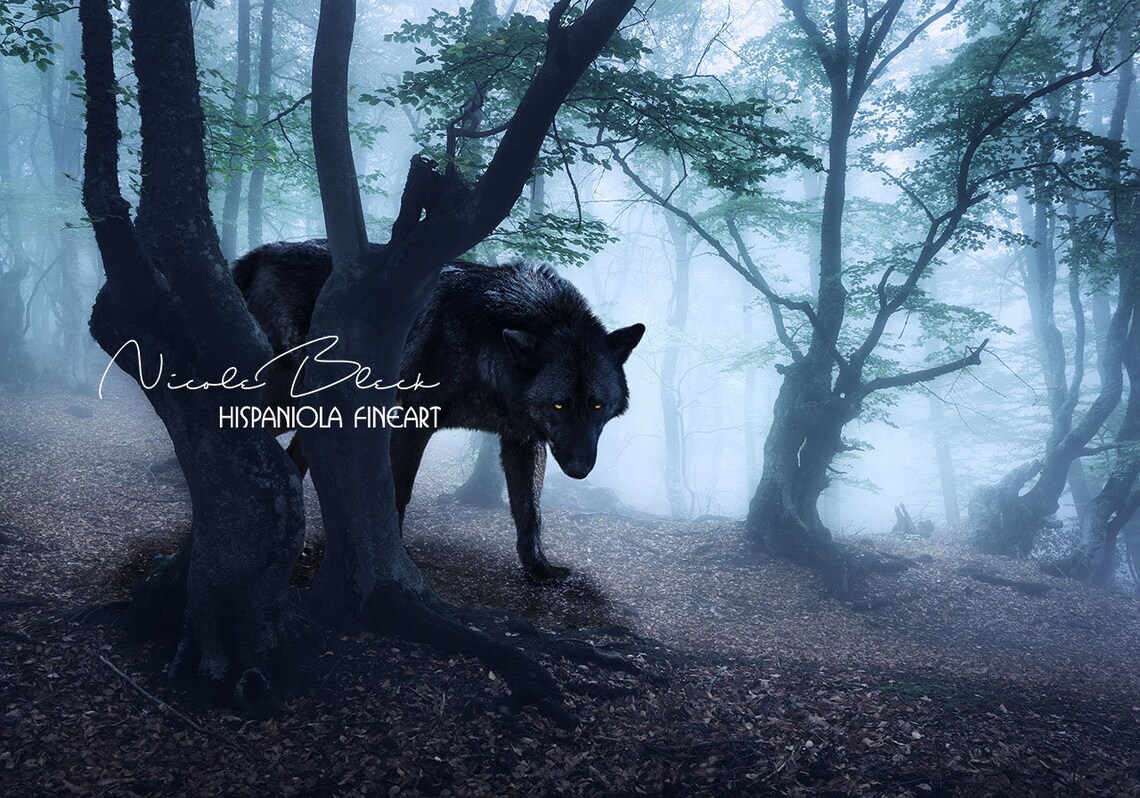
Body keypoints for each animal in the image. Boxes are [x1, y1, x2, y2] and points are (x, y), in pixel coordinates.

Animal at [233, 240, 644, 580]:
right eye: (560, 404)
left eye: (597, 406)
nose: (579, 469)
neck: (486, 351)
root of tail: (262, 252)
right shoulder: (412, 423)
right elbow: (399, 493)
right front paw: (397, 562)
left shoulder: (523, 439)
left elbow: (530, 510)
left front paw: (539, 568)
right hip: (290, 402)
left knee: (291, 460)